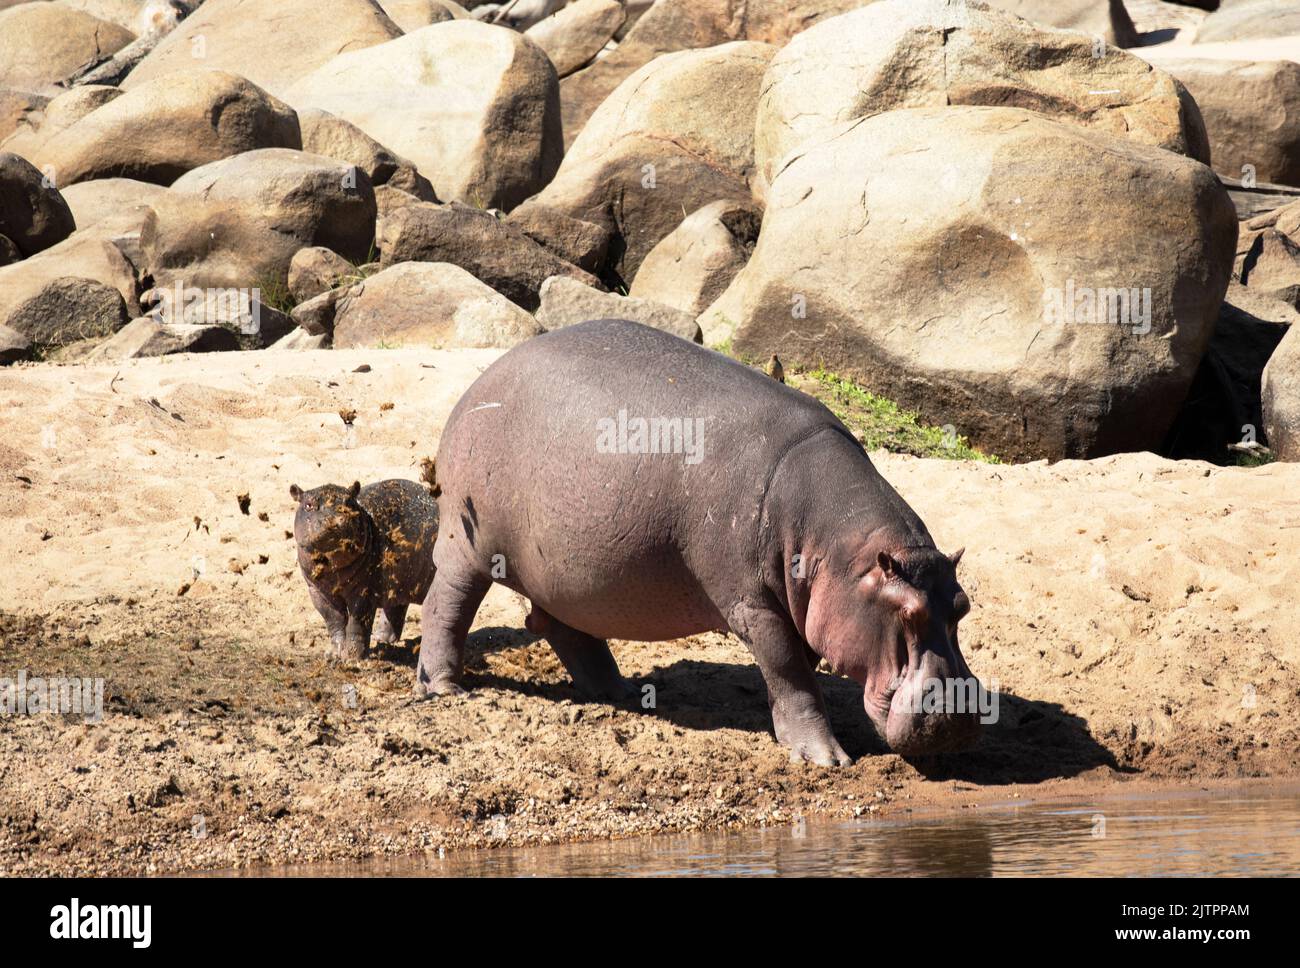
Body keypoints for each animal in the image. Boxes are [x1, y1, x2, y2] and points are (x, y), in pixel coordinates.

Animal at [291, 478, 439, 660]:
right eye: (309, 505)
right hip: (401, 580)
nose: (335, 521)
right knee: (396, 607)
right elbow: (334, 619)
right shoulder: (317, 591)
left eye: (349, 502)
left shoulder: (365, 591)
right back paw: (381, 639)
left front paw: (352, 657)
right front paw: (333, 654)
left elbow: (358, 622)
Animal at [416, 318, 980, 764]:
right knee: (447, 605)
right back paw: (445, 687)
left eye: (963, 606)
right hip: (468, 544)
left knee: (560, 625)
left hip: (563, 574)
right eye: (907, 613)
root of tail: (482, 379)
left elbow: (802, 669)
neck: (841, 555)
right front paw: (827, 758)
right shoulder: (754, 605)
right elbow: (791, 672)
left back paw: (619, 692)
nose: (957, 718)